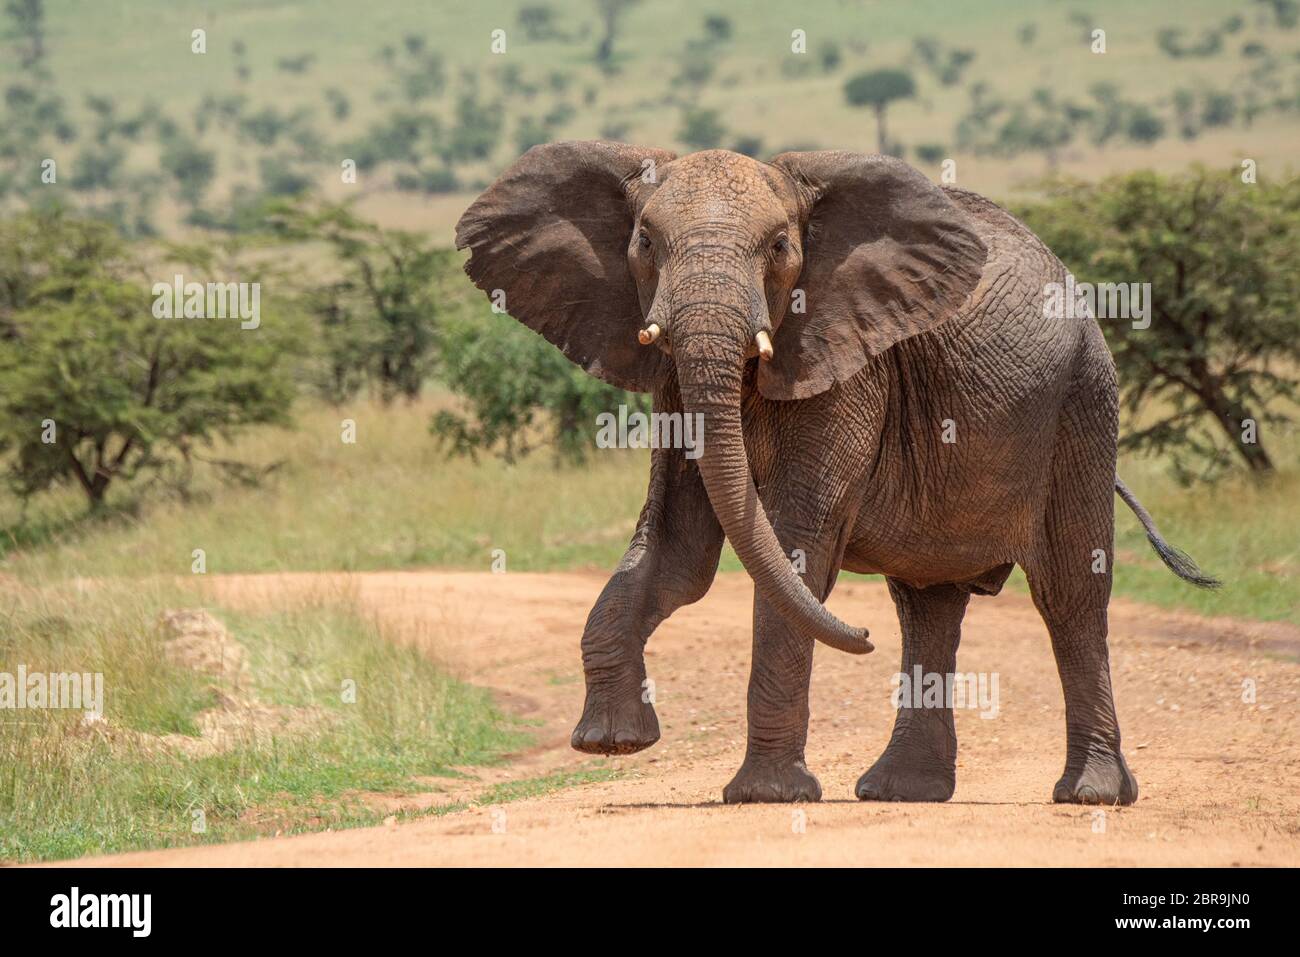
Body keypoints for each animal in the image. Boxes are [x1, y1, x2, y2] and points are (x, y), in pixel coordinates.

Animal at [455, 142, 1218, 806]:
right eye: (644, 242)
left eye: (779, 248)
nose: (859, 635)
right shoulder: (673, 381)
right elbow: (676, 552)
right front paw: (611, 742)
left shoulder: (849, 365)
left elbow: (796, 547)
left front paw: (764, 796)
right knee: (928, 604)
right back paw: (902, 790)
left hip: (1083, 402)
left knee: (1069, 594)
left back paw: (1090, 795)